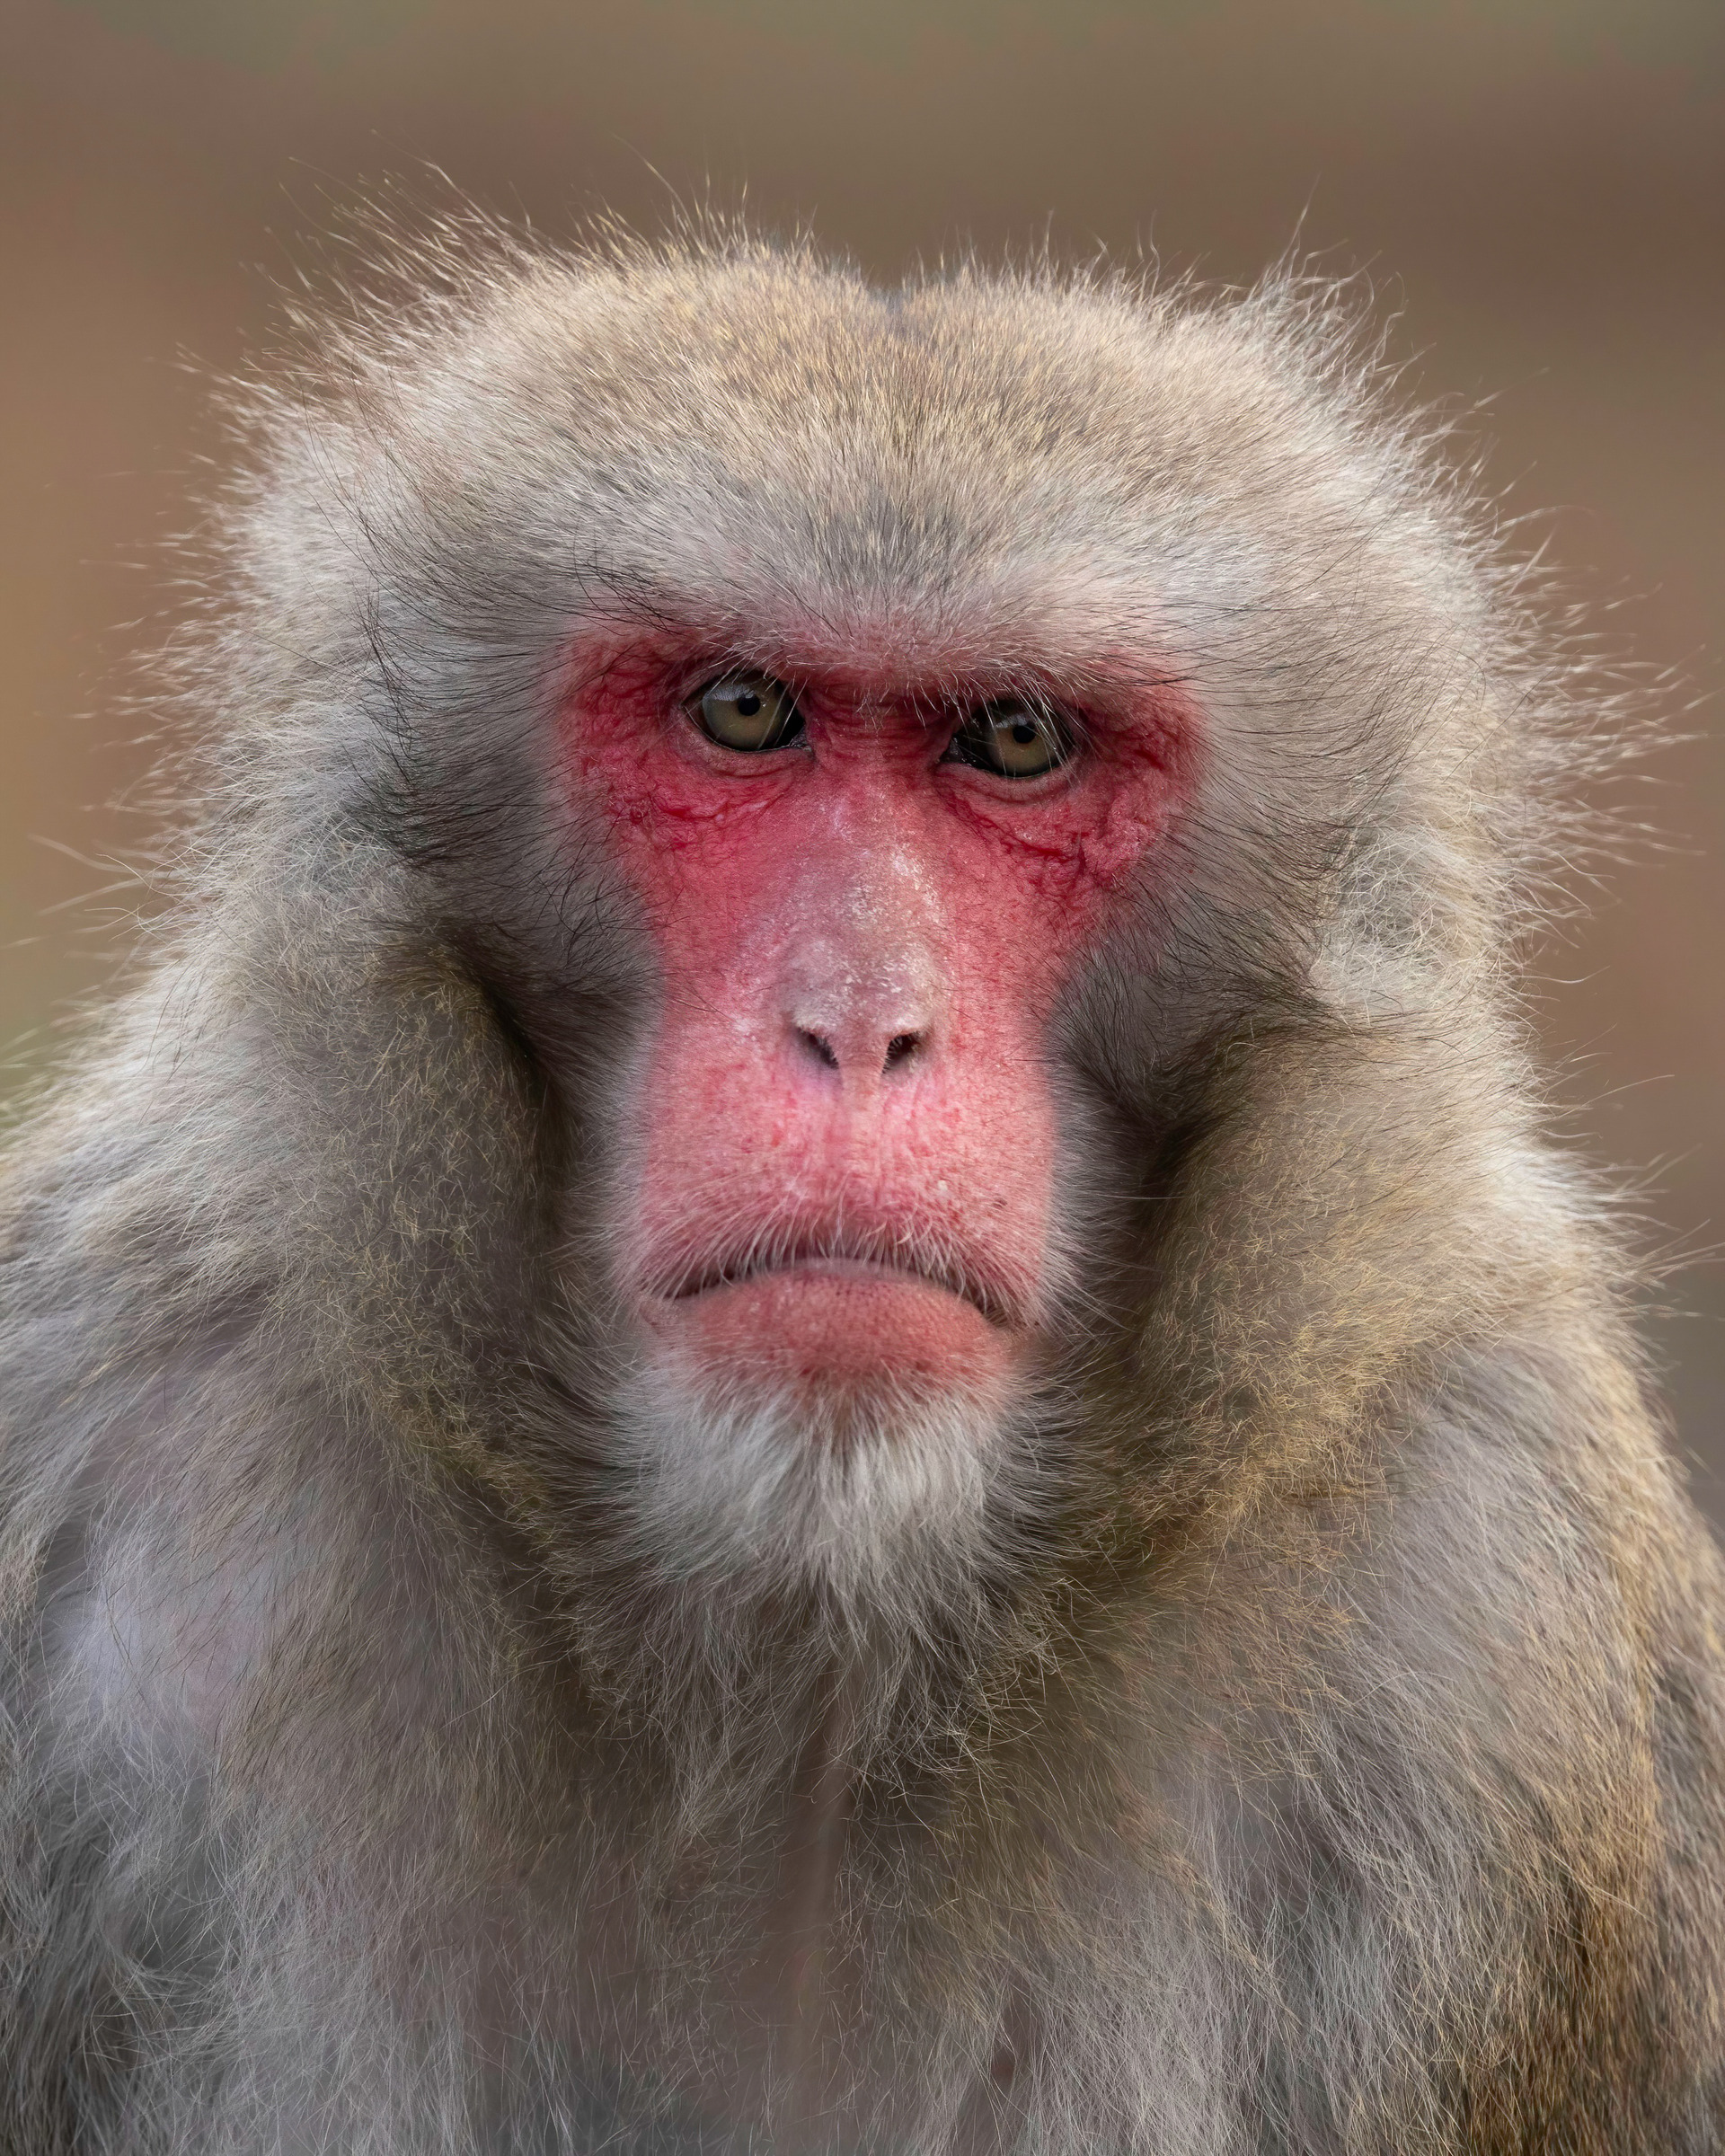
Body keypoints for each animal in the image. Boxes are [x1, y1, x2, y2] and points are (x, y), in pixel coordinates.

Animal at [0, 219, 1721, 2156]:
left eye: (1020, 740)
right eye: (744, 713)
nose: (860, 1024)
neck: (807, 1645)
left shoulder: (1491, 1598)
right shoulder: (97, 1431)